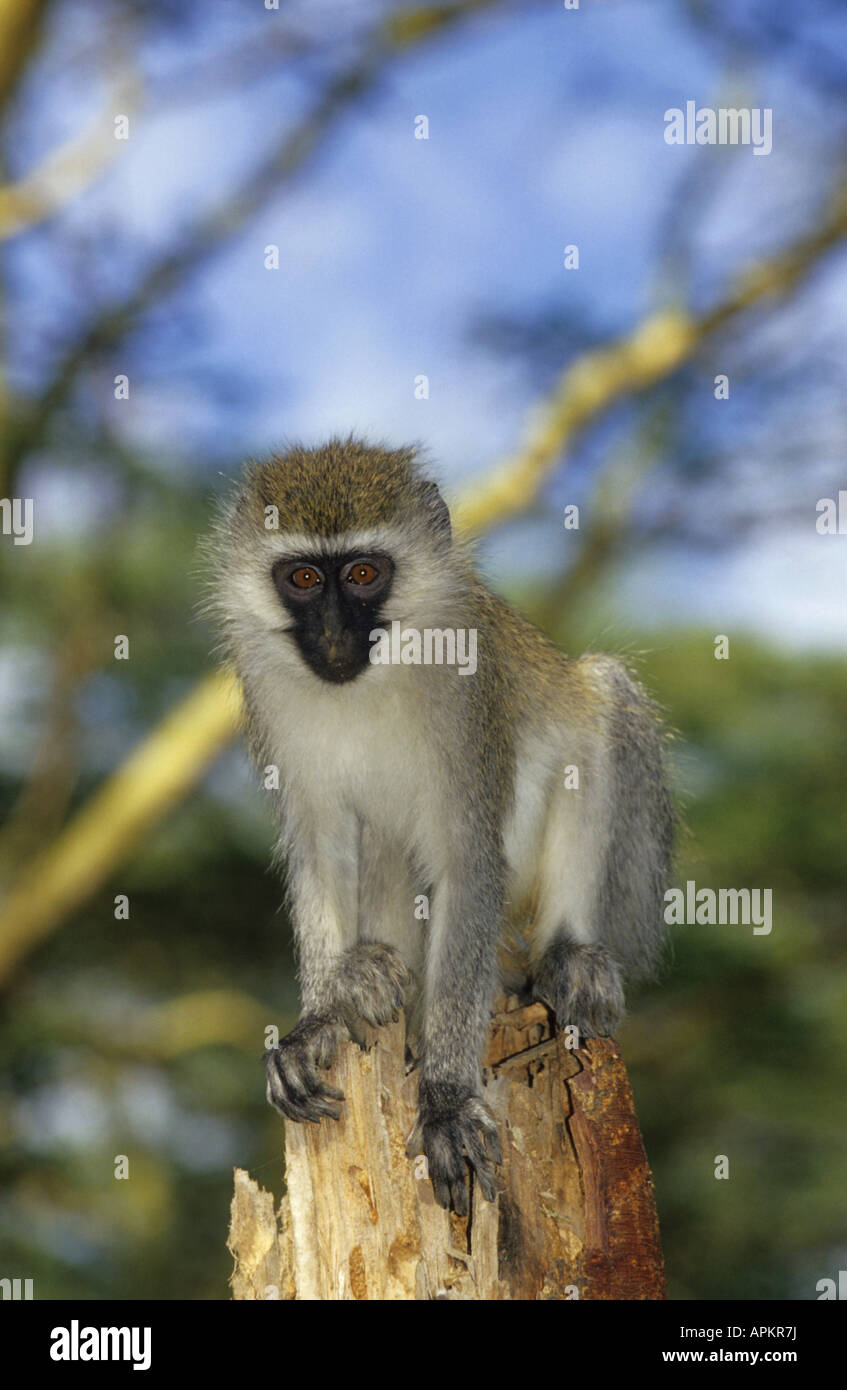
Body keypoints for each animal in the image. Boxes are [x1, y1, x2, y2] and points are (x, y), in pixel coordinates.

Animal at [207, 436, 673, 1216]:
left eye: (364, 573)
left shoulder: (468, 697)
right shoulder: (266, 687)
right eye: (302, 578)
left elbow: (469, 863)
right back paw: (367, 974)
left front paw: (447, 1099)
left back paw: (570, 956)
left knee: (603, 698)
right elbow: (320, 844)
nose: (333, 634)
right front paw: (316, 1020)